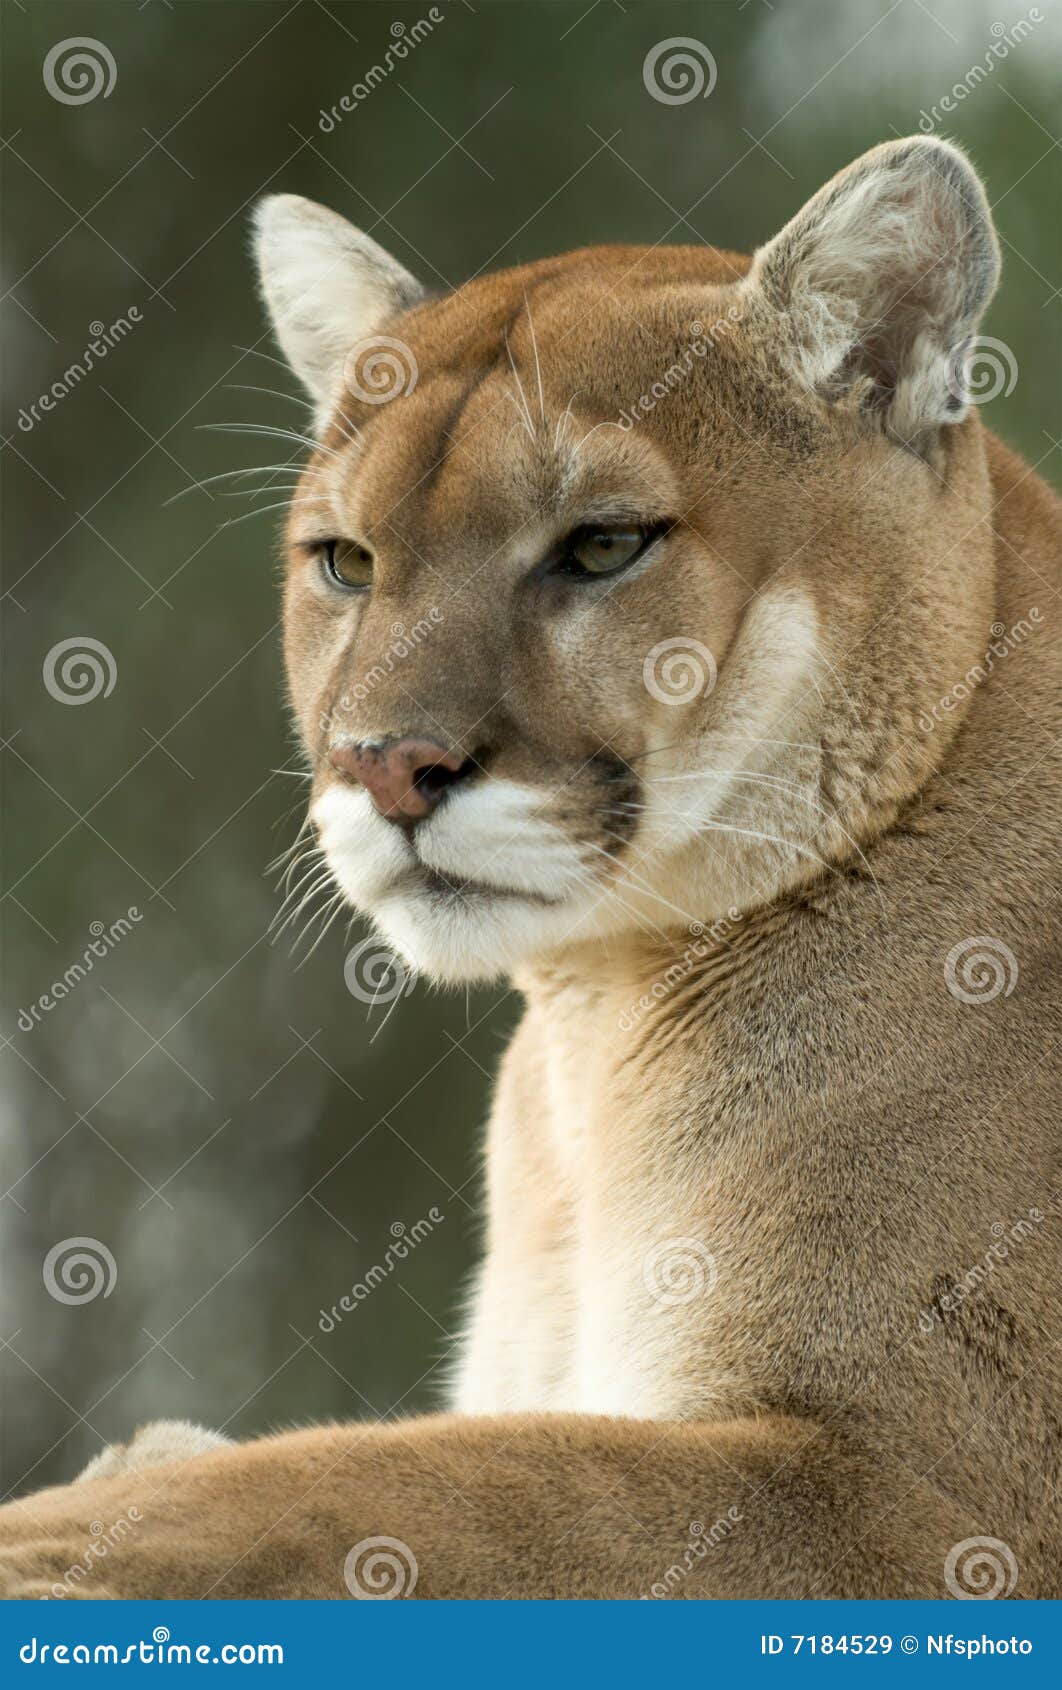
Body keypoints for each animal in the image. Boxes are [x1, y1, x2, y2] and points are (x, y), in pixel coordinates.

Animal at [2, 136, 1059, 1600]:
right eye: (345, 562)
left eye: (603, 544)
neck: (590, 1031)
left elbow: (382, 1478)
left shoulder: (918, 1491)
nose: (386, 765)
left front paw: (70, 1519)